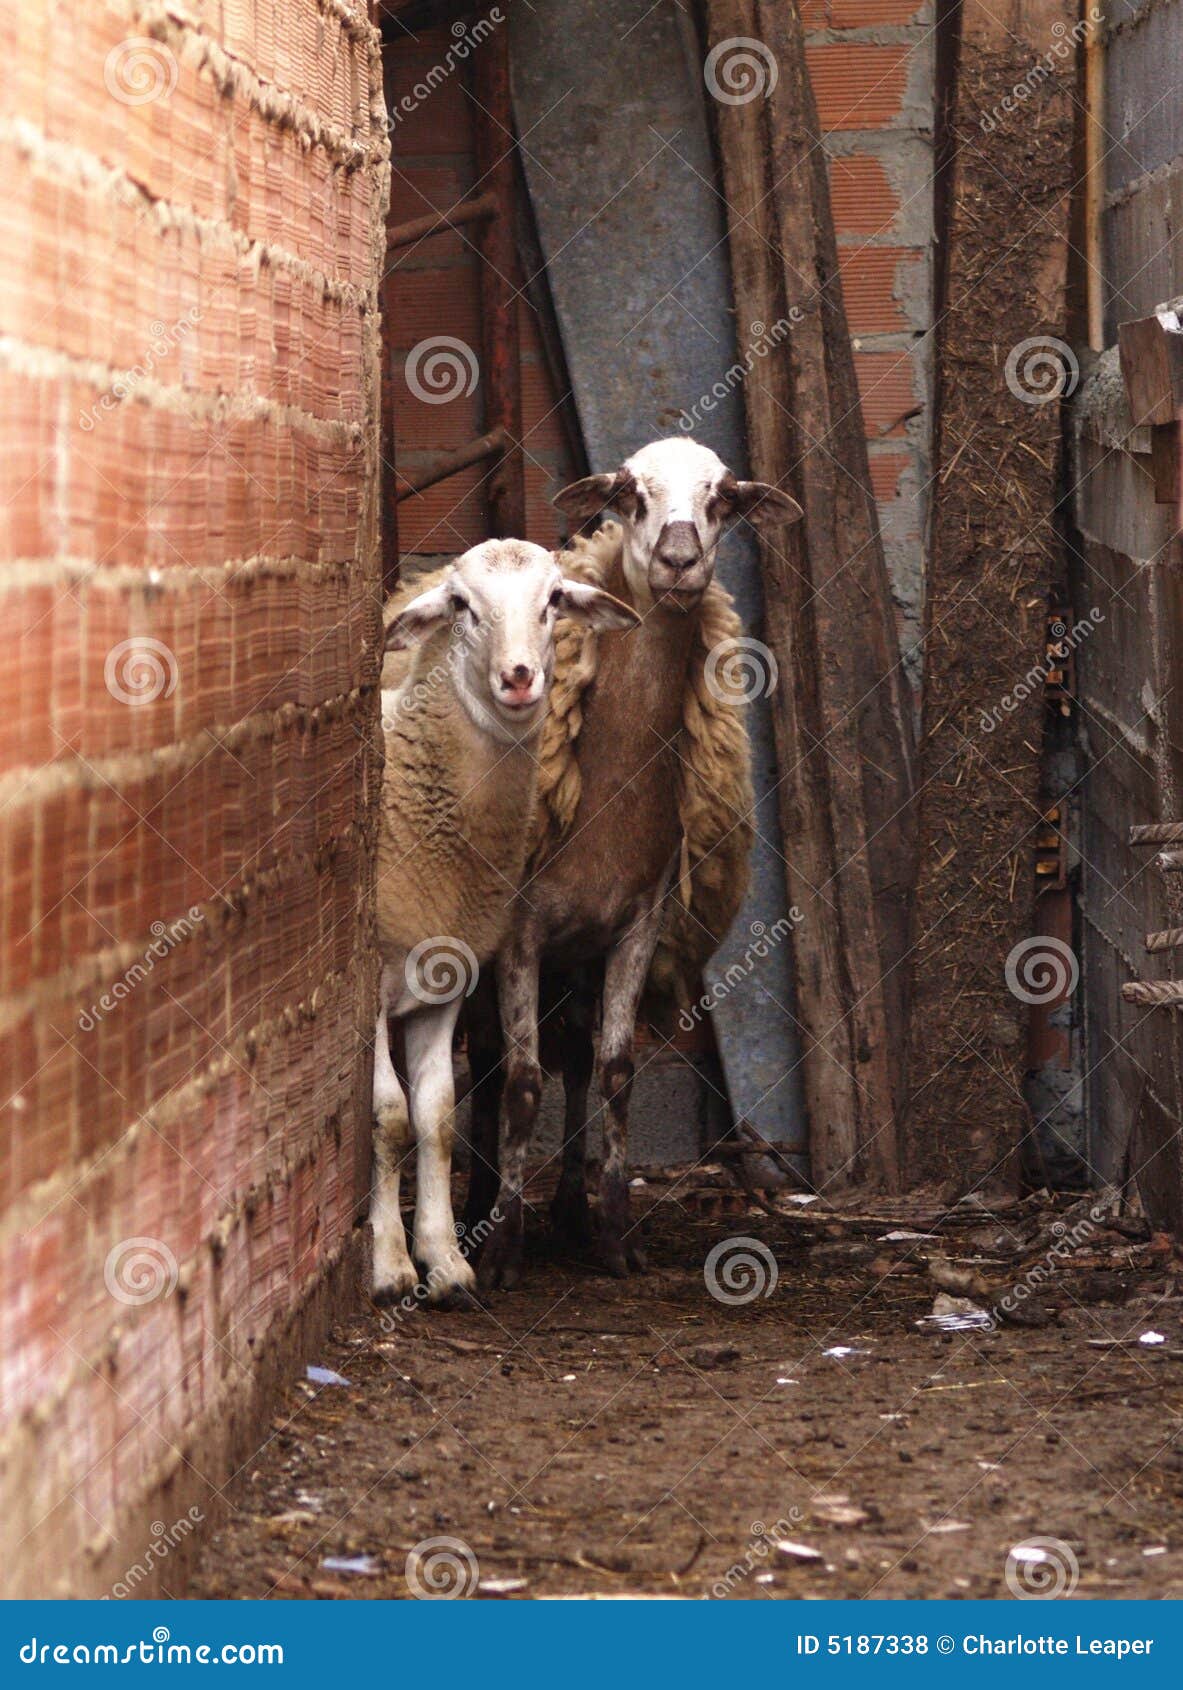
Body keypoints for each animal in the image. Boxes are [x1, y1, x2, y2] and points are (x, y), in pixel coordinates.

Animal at [372, 538, 637, 1304]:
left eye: (553, 600)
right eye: (461, 605)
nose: (519, 678)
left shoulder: (441, 983)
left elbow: (435, 1119)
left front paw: (445, 1265)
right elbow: (388, 1118)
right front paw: (389, 1268)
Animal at [468, 437, 802, 1290]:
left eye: (721, 499)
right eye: (629, 494)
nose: (680, 560)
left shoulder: (636, 923)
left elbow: (615, 1071)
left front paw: (614, 1235)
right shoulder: (518, 931)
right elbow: (521, 1083)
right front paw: (503, 1248)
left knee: (579, 1060)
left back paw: (568, 1211)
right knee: (486, 1065)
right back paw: (478, 1205)